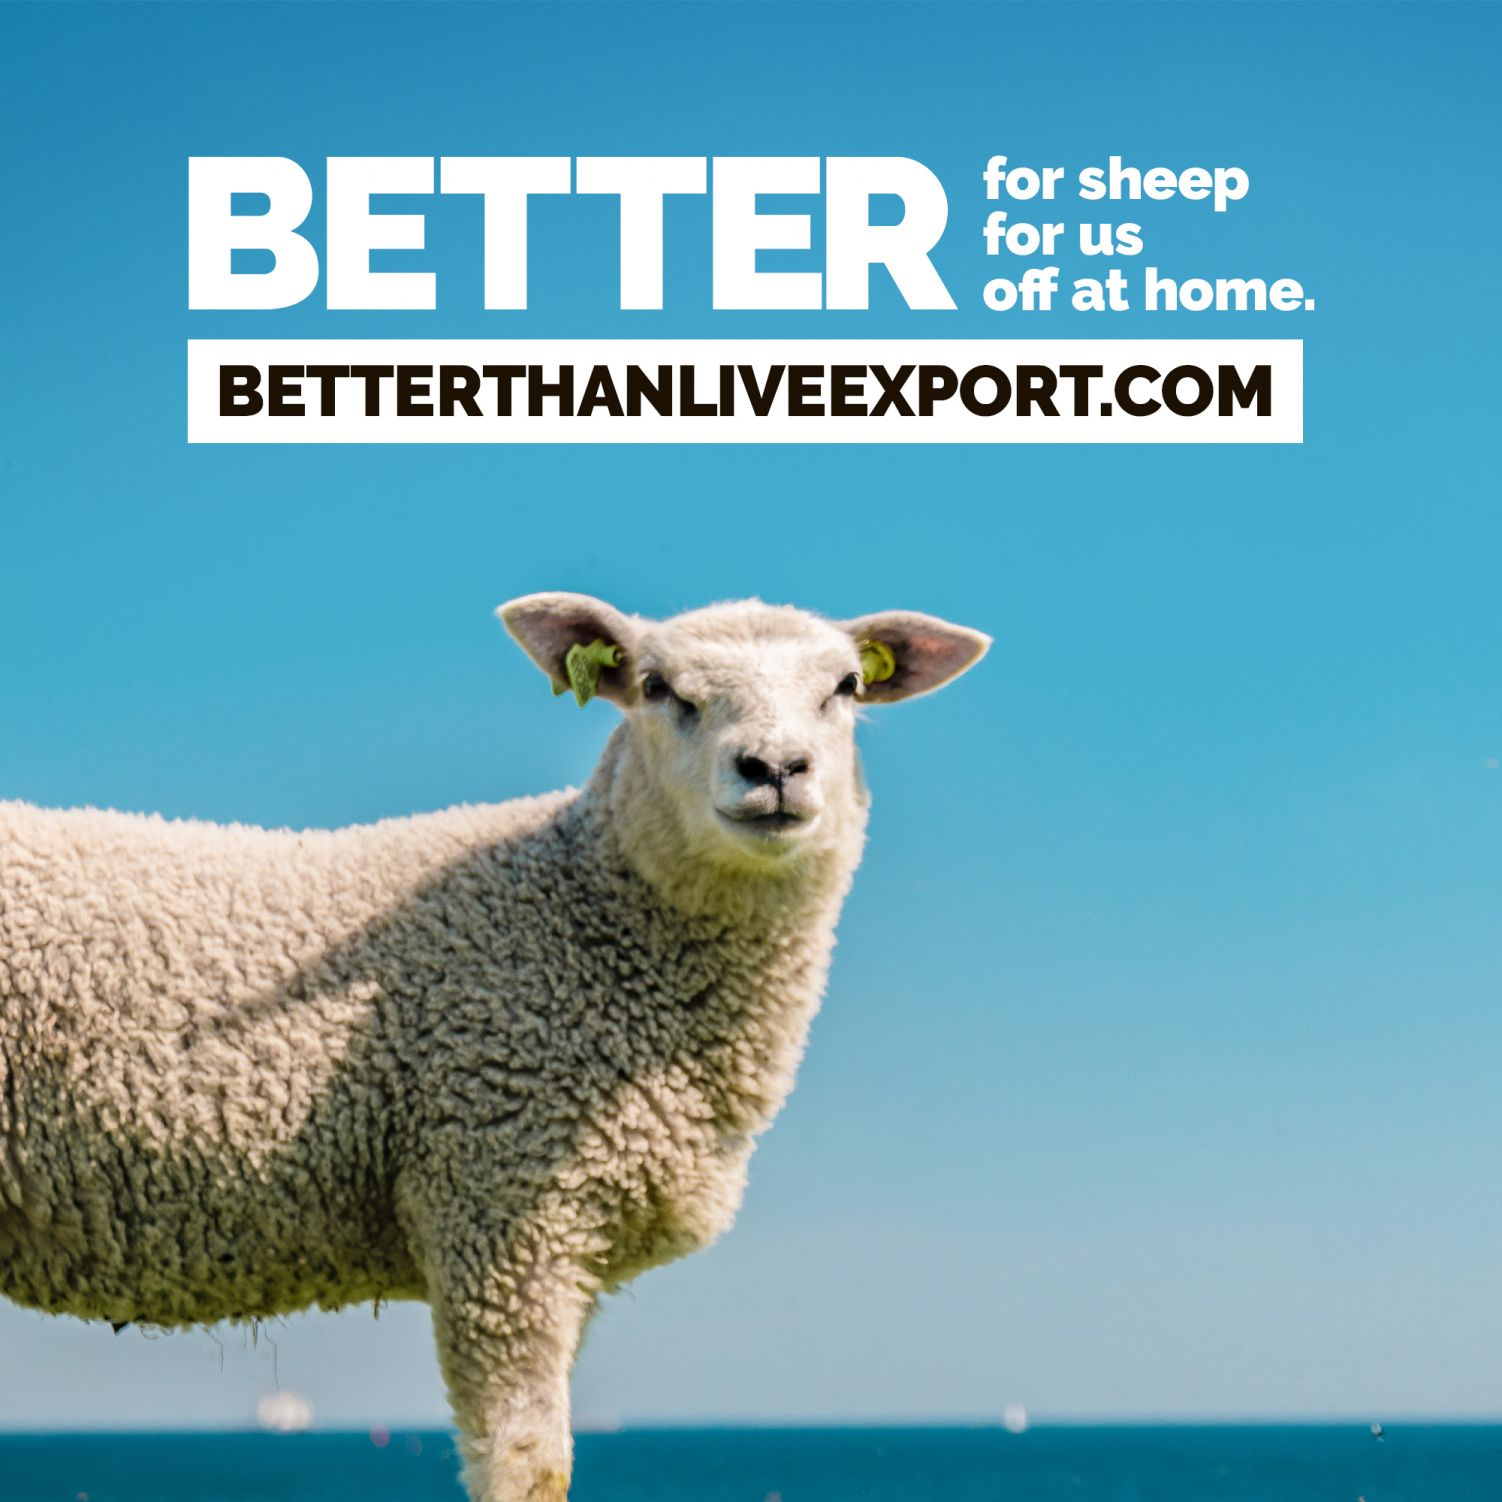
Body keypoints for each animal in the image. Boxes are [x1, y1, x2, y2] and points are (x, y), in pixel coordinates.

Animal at [0, 592, 989, 1501]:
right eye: (657, 687)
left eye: (847, 687)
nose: (775, 768)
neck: (587, 916)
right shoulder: (498, 1207)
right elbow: (529, 1467)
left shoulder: (561, 1237)